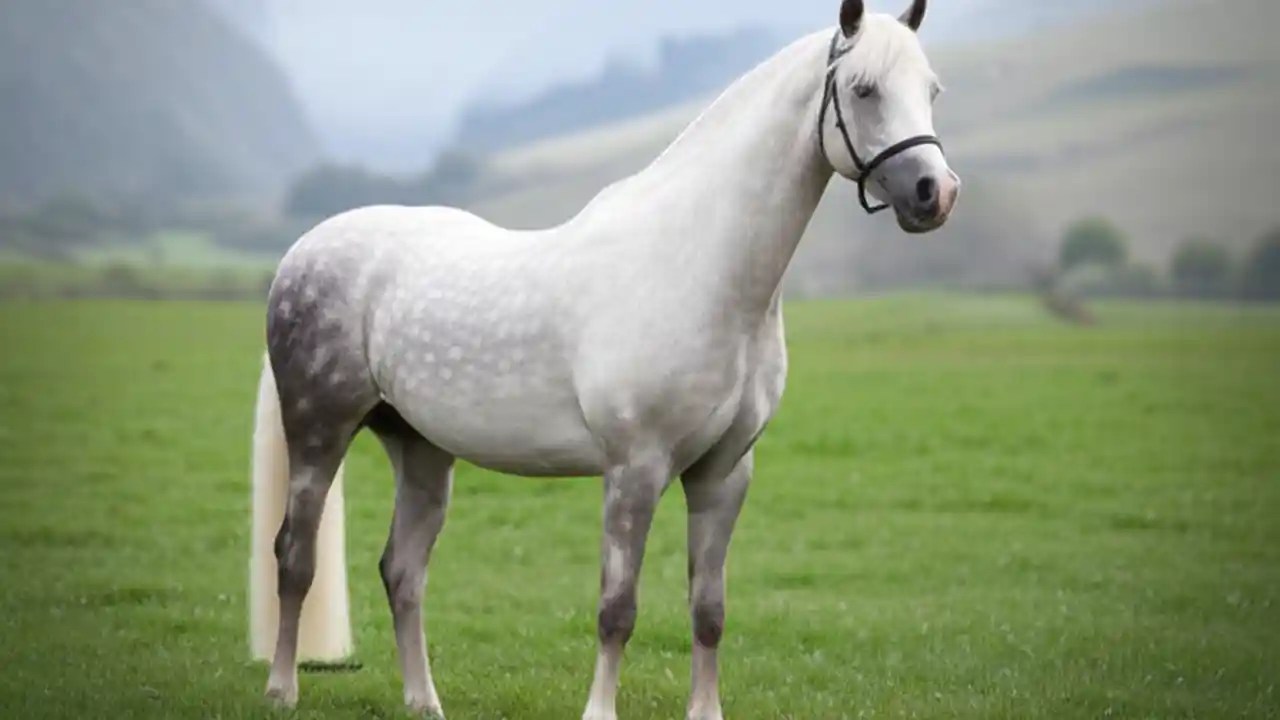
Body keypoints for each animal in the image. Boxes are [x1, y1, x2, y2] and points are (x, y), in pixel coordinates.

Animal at [248, 1, 959, 717]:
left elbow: (709, 610)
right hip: (319, 432)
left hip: (420, 448)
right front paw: (600, 709)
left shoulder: (724, 474)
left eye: (930, 91)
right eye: (864, 90)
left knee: (402, 571)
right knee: (295, 555)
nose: (936, 192)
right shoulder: (634, 470)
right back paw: (281, 688)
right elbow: (617, 609)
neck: (699, 266)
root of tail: (302, 252)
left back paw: (424, 701)